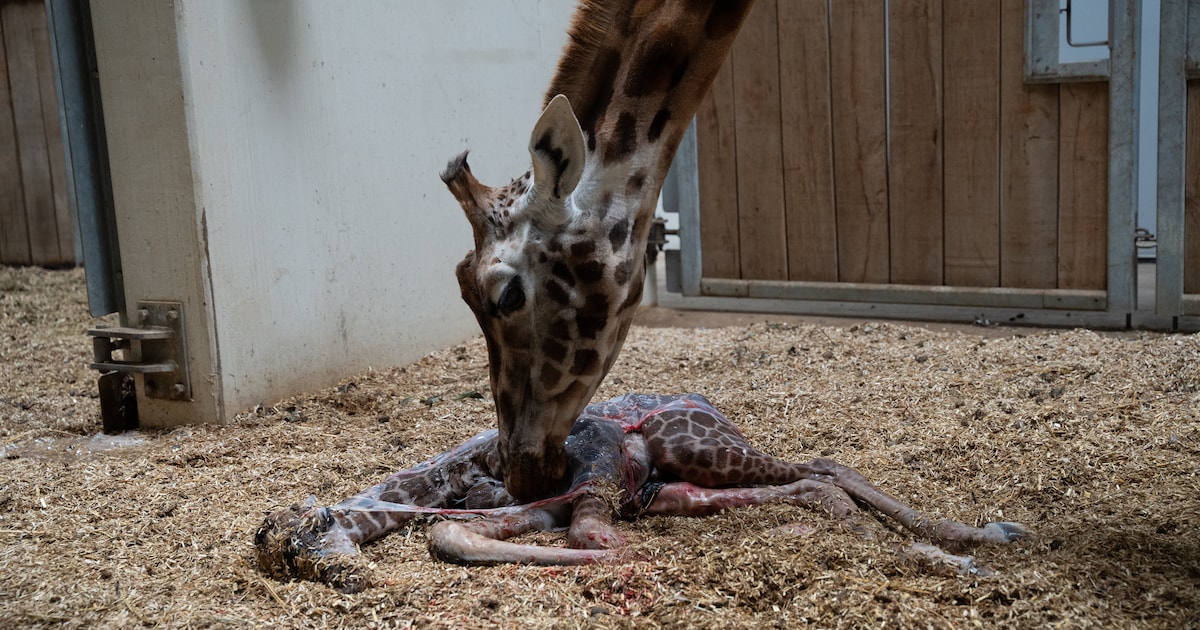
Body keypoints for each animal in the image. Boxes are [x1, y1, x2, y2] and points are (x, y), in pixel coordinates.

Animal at [255, 393, 1031, 593]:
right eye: (287, 562)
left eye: (312, 533)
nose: (351, 580)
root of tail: (712, 406)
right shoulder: (548, 509)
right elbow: (453, 533)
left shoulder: (593, 476)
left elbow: (588, 532)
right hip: (679, 486)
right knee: (815, 482)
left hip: (701, 449)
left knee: (826, 464)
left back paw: (976, 544)